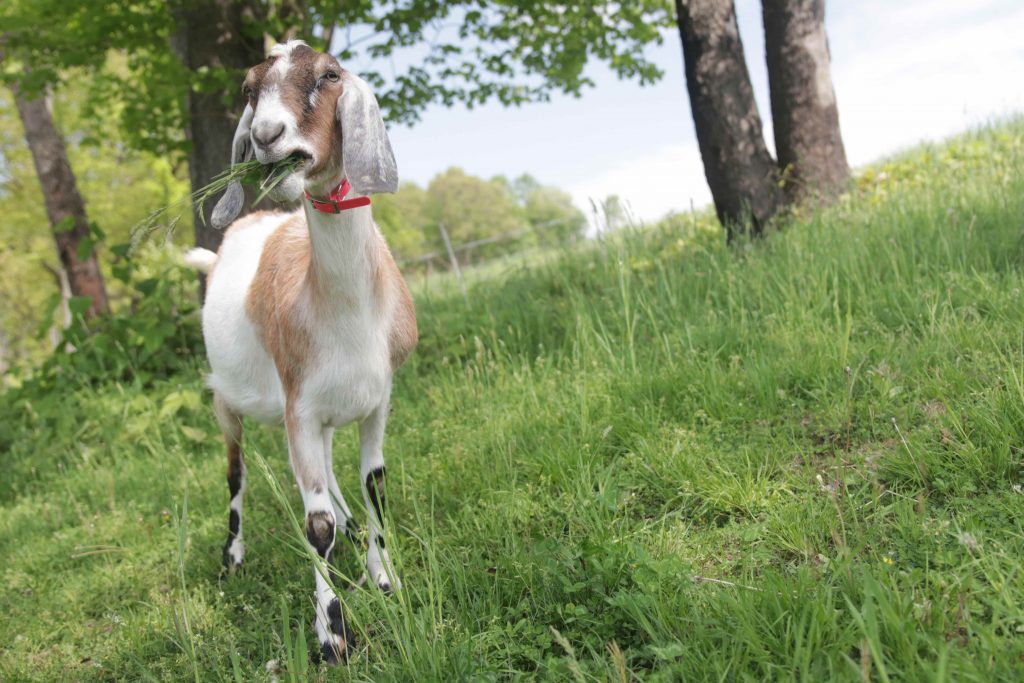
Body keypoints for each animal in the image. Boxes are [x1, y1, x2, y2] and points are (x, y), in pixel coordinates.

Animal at [183, 40, 417, 664]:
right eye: (248, 90)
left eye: (329, 75)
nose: (267, 135)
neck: (344, 311)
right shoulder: (299, 408)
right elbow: (315, 527)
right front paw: (333, 634)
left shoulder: (375, 399)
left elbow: (374, 487)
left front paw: (384, 579)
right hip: (228, 404)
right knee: (236, 475)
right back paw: (233, 558)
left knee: (330, 476)